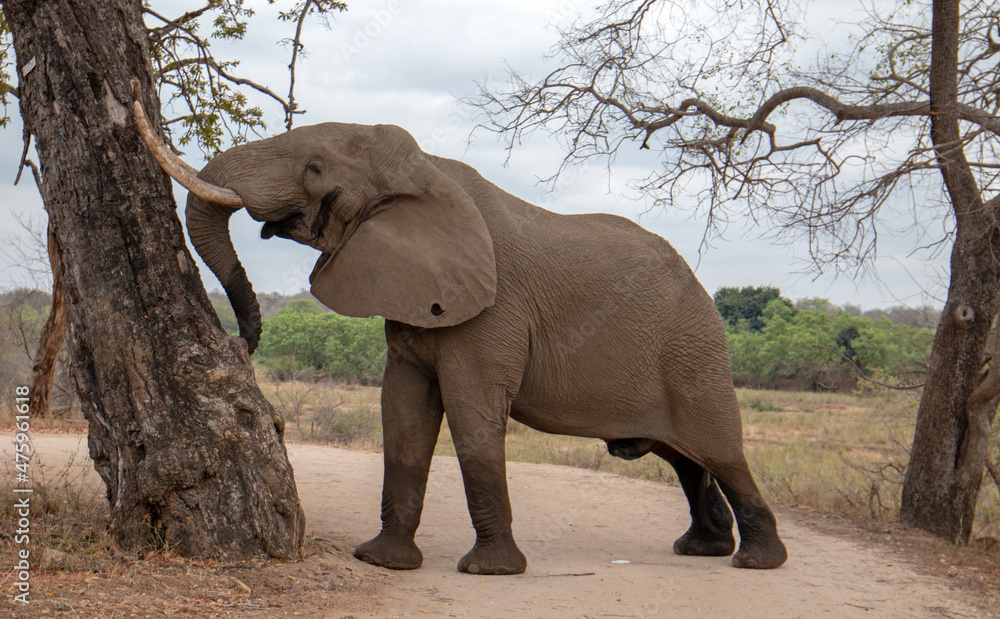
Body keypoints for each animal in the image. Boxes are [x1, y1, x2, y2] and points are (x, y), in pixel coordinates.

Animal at [134, 100, 788, 575]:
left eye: (315, 169)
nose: (242, 344)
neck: (426, 168)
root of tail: (704, 291)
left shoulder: (492, 313)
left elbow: (472, 416)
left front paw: (489, 571)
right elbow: (403, 414)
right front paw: (382, 562)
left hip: (694, 350)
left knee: (720, 451)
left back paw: (757, 563)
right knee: (684, 458)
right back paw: (700, 549)